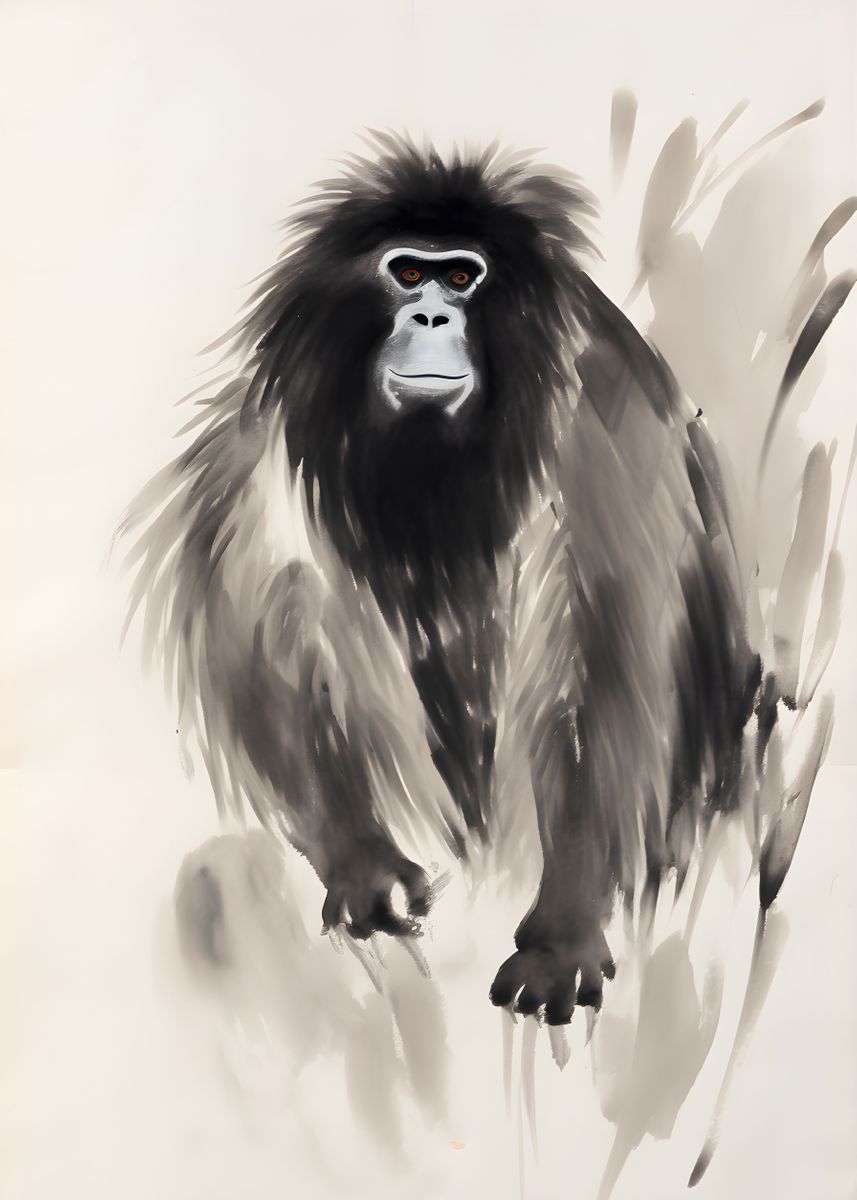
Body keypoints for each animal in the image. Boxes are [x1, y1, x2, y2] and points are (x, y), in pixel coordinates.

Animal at [122, 135, 765, 1026]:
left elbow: (612, 663)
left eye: (461, 276)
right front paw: (363, 866)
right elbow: (261, 632)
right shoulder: (274, 425)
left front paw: (560, 937)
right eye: (406, 272)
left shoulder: (602, 412)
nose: (430, 318)